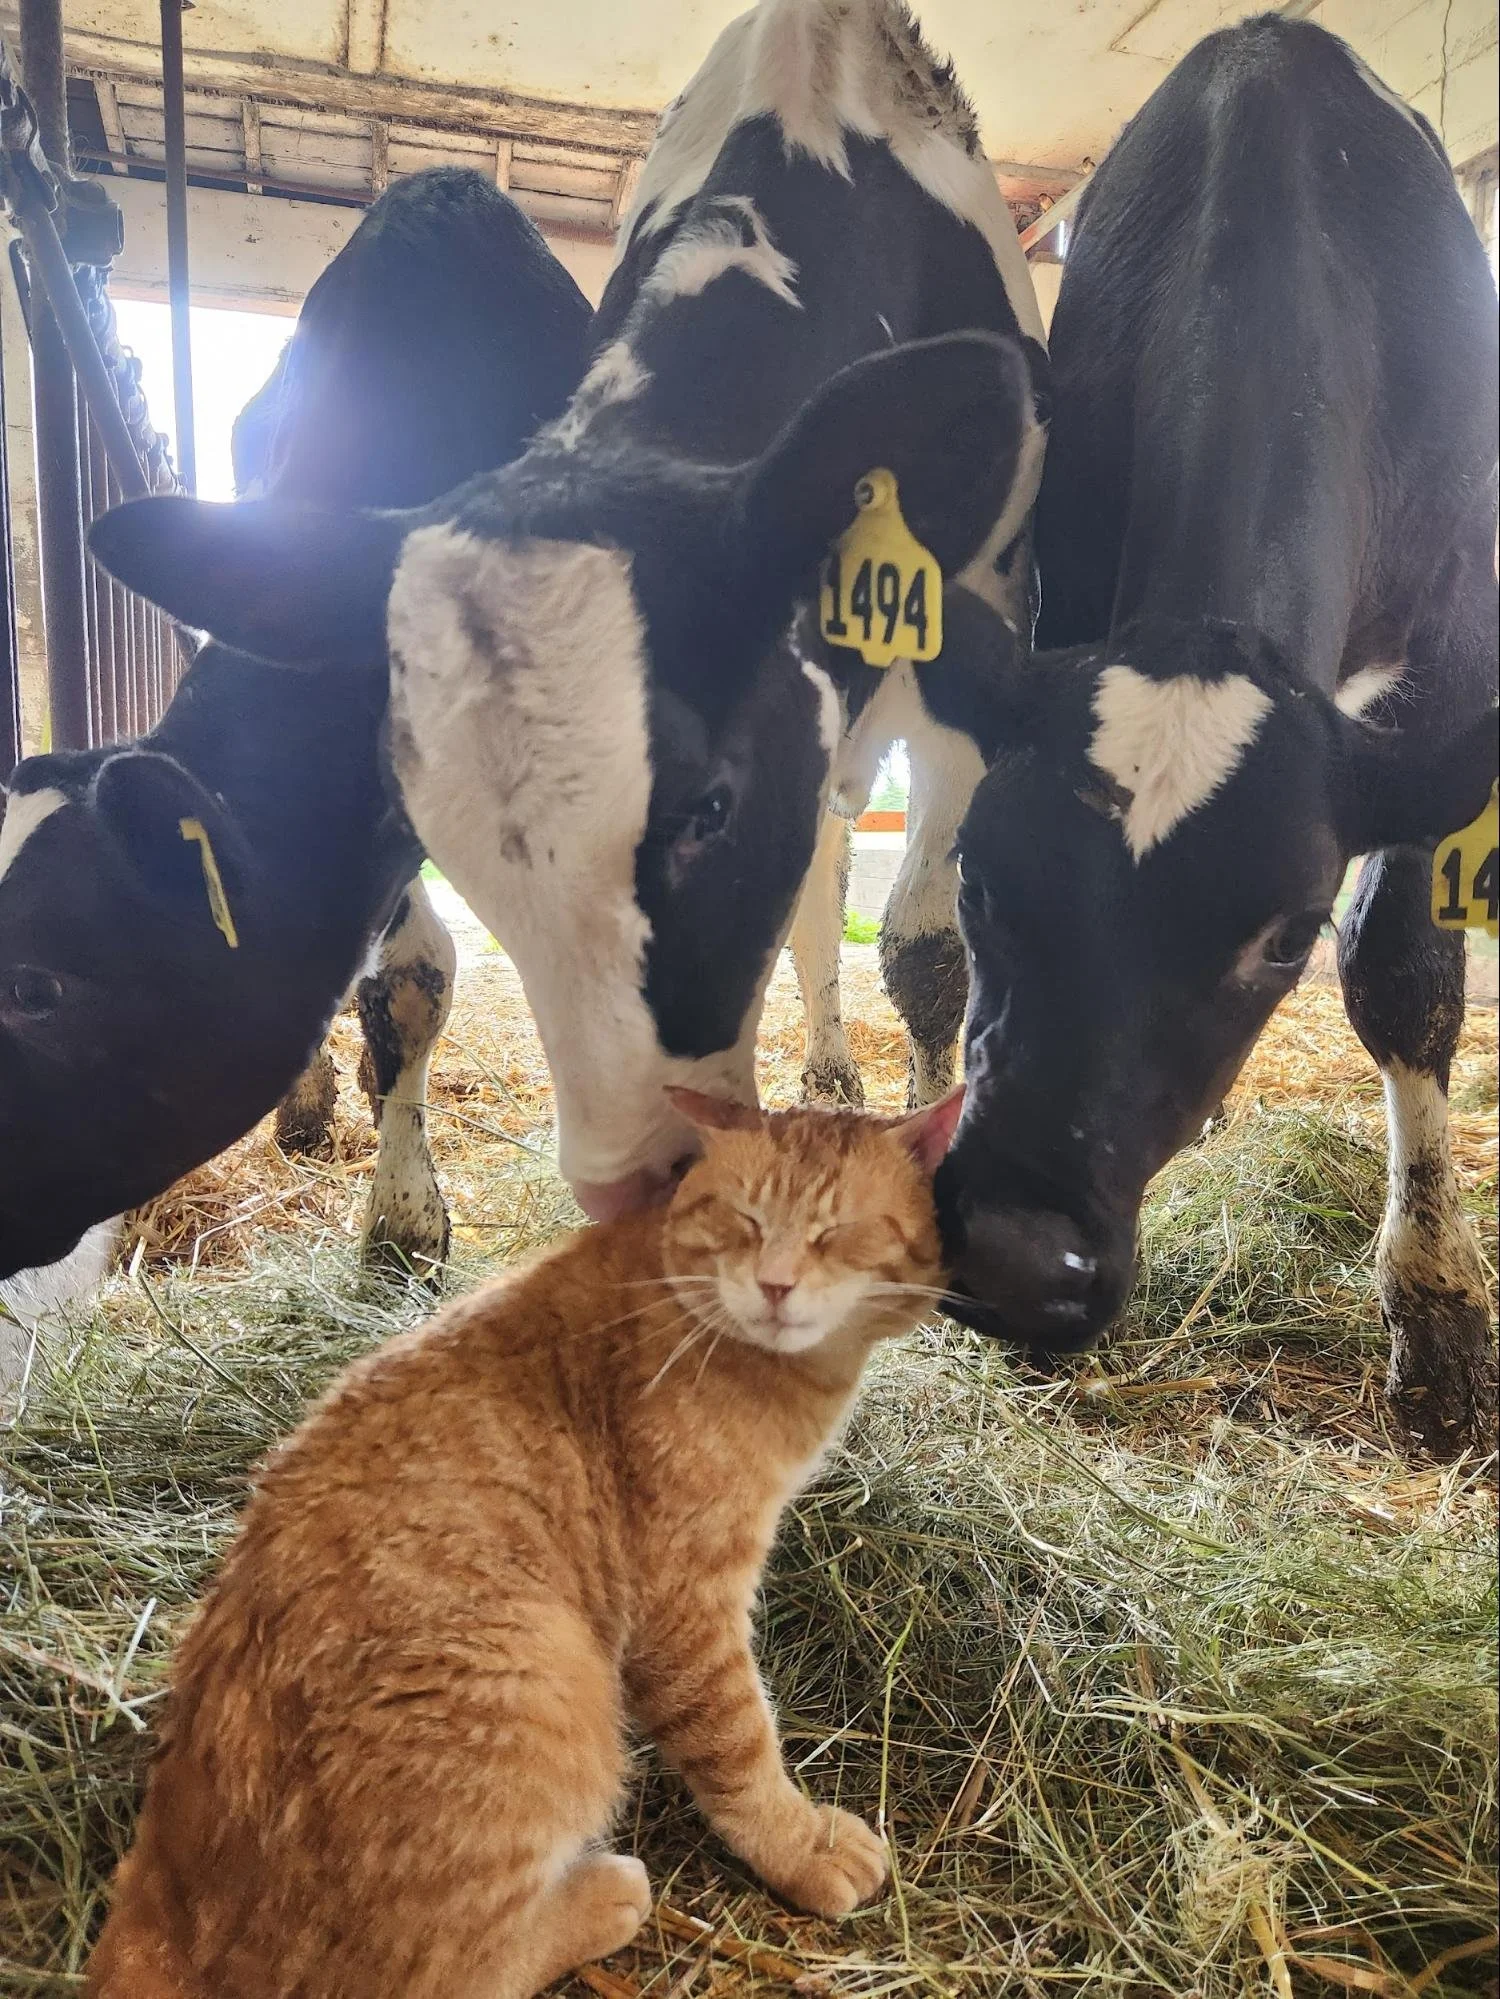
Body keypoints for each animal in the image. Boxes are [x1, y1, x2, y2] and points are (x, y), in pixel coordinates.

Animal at [87, 0, 1049, 1227]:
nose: (635, 1179)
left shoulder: (986, 622)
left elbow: (929, 948)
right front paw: (398, 1212)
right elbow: (403, 976)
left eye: (709, 808)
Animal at [935, 16, 1498, 1454]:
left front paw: (1436, 1311)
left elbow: (1403, 971)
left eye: (1283, 936)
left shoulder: (1443, 680)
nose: (1016, 1261)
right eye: (976, 878)